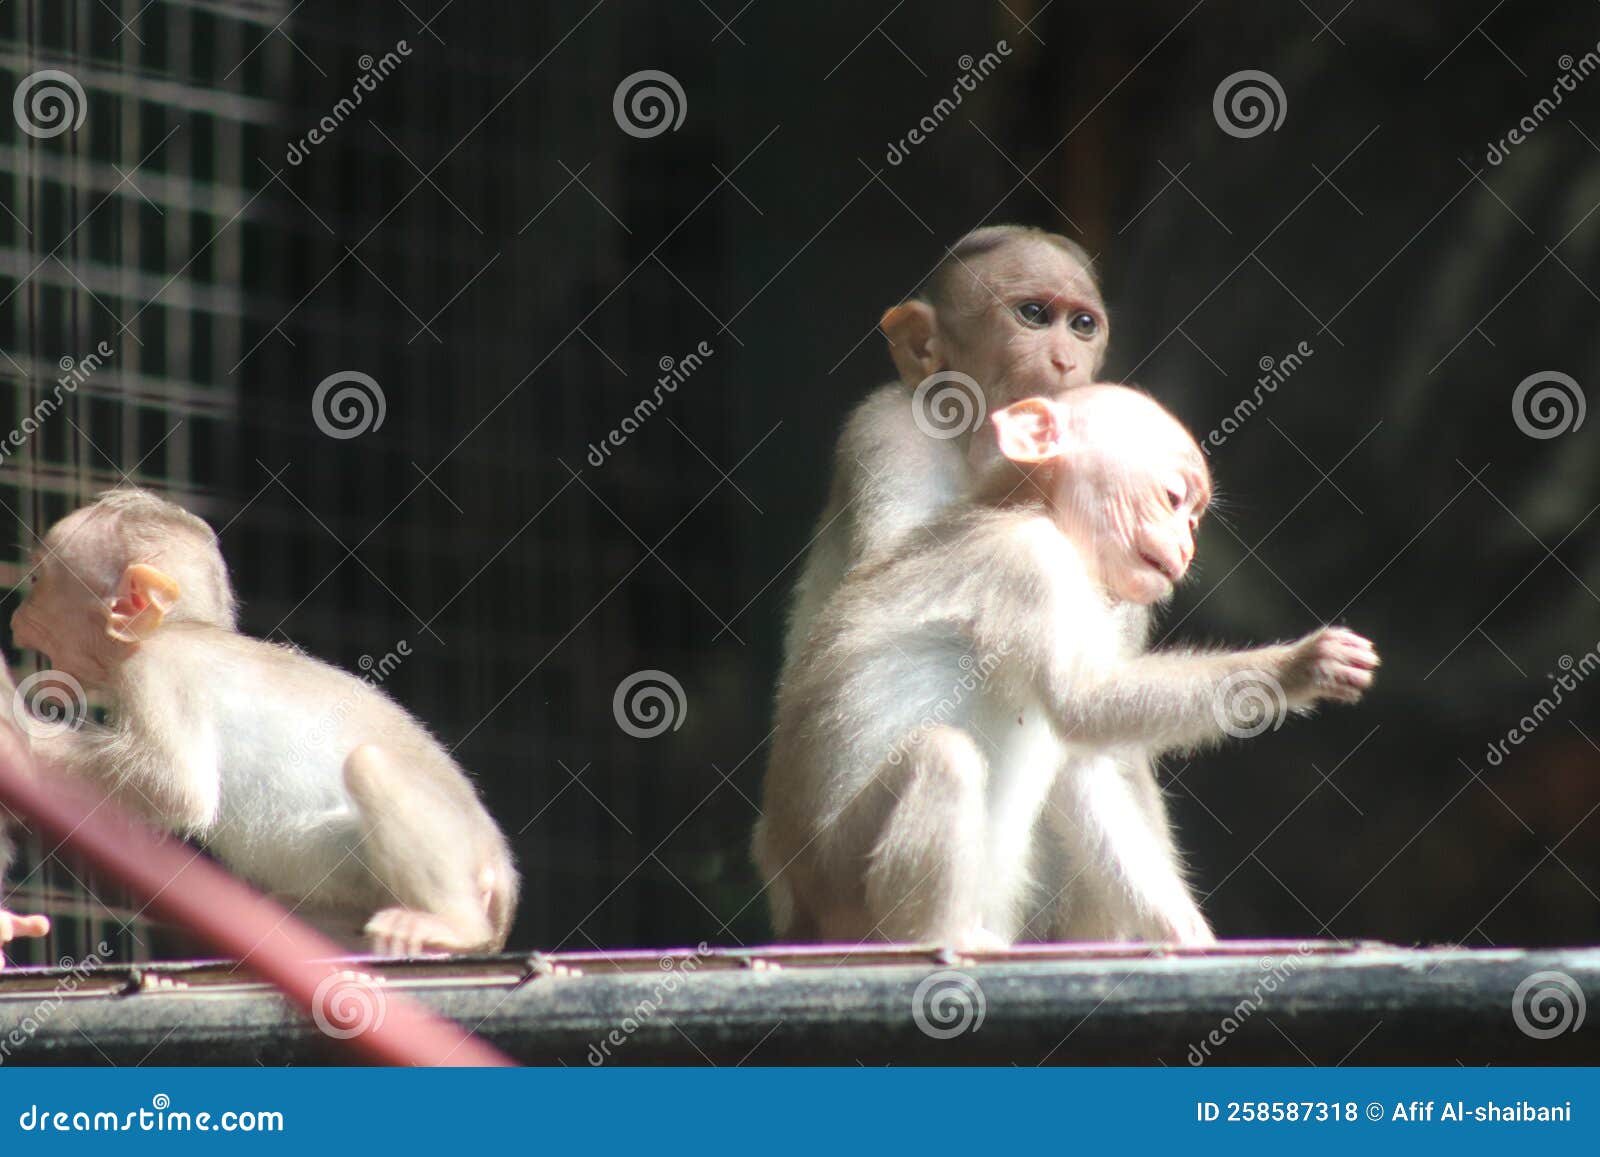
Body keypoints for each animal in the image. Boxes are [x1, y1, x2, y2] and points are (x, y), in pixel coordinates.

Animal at [6, 488, 518, 957]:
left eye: (37, 578)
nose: (16, 618)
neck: (175, 630)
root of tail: (502, 872)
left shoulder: (159, 670)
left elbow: (175, 786)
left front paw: (15, 721)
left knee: (371, 766)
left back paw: (455, 924)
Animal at [754, 385, 1379, 949]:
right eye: (1174, 498)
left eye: (1194, 516)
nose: (1187, 544)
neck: (1028, 510)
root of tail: (800, 914)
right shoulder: (1031, 562)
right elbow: (1084, 703)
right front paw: (1298, 665)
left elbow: (1079, 765)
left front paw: (1183, 930)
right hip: (839, 886)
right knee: (945, 756)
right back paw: (939, 939)